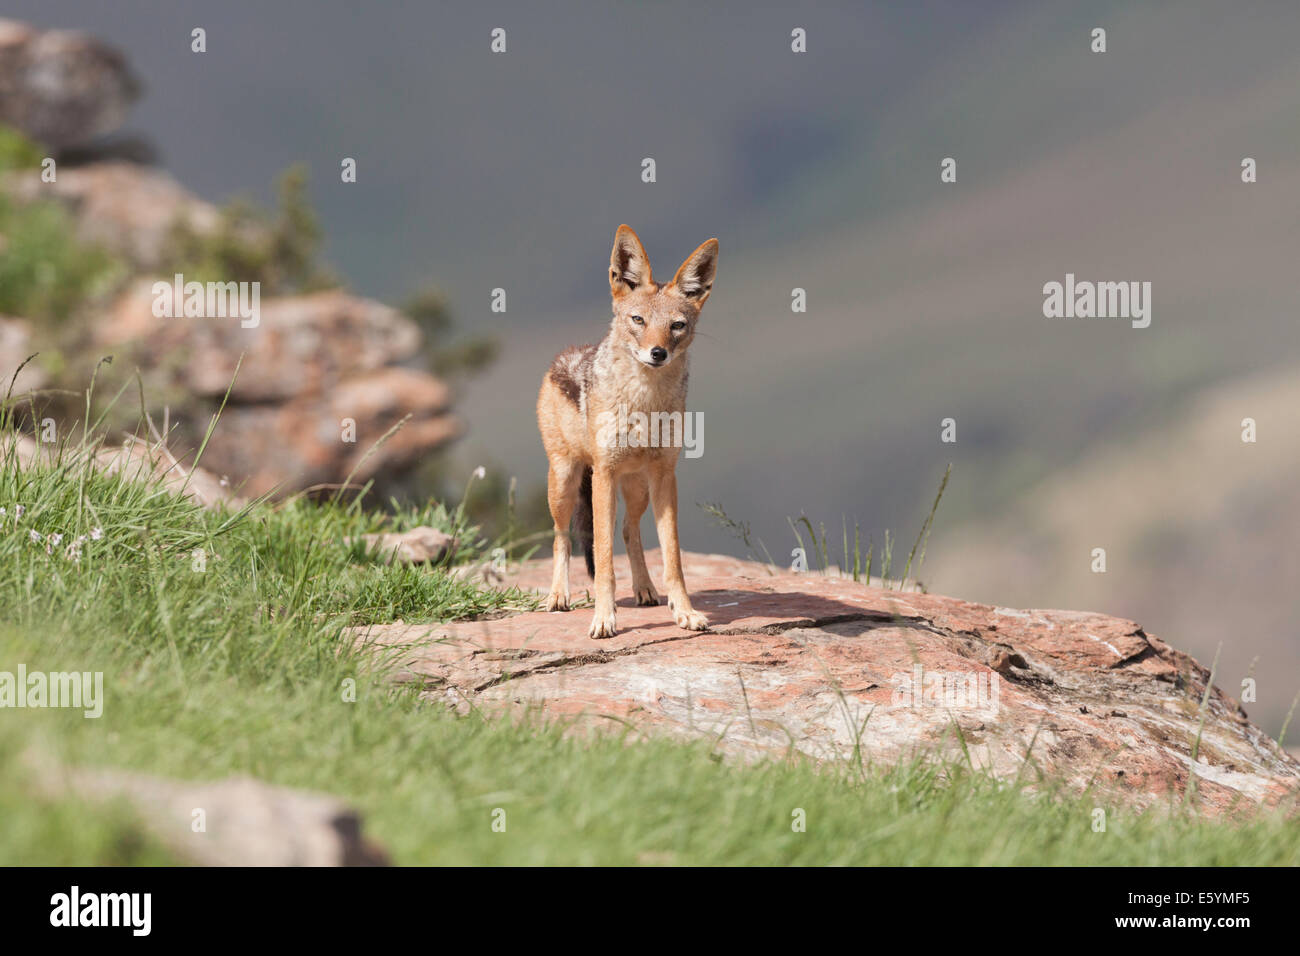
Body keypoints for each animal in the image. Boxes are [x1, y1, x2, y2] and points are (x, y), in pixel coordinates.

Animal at [537, 224, 718, 639]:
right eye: (637, 320)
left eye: (677, 326)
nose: (657, 353)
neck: (644, 404)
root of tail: (567, 354)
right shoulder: (603, 474)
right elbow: (603, 561)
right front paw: (604, 619)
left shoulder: (666, 475)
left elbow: (673, 559)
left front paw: (685, 612)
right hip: (566, 483)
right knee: (561, 537)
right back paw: (558, 596)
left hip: (637, 488)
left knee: (627, 529)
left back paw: (645, 590)